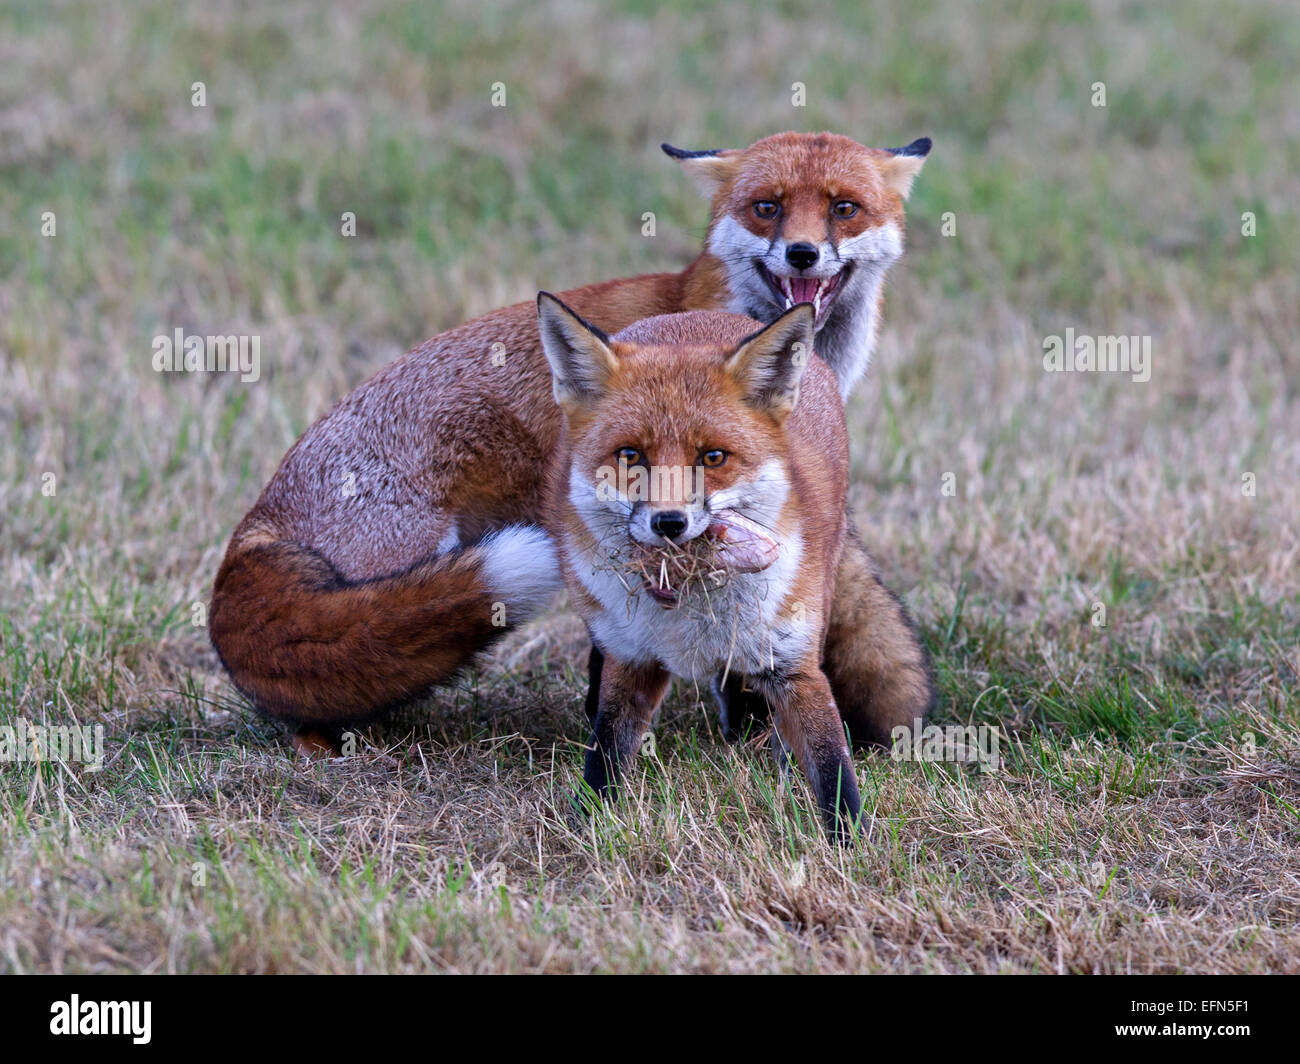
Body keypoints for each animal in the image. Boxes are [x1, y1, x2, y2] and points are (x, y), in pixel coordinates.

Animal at [537, 294, 862, 839]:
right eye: (630, 455)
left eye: (712, 457)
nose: (669, 522)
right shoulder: (632, 663)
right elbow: (604, 758)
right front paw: (586, 829)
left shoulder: (793, 666)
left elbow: (832, 765)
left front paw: (850, 843)